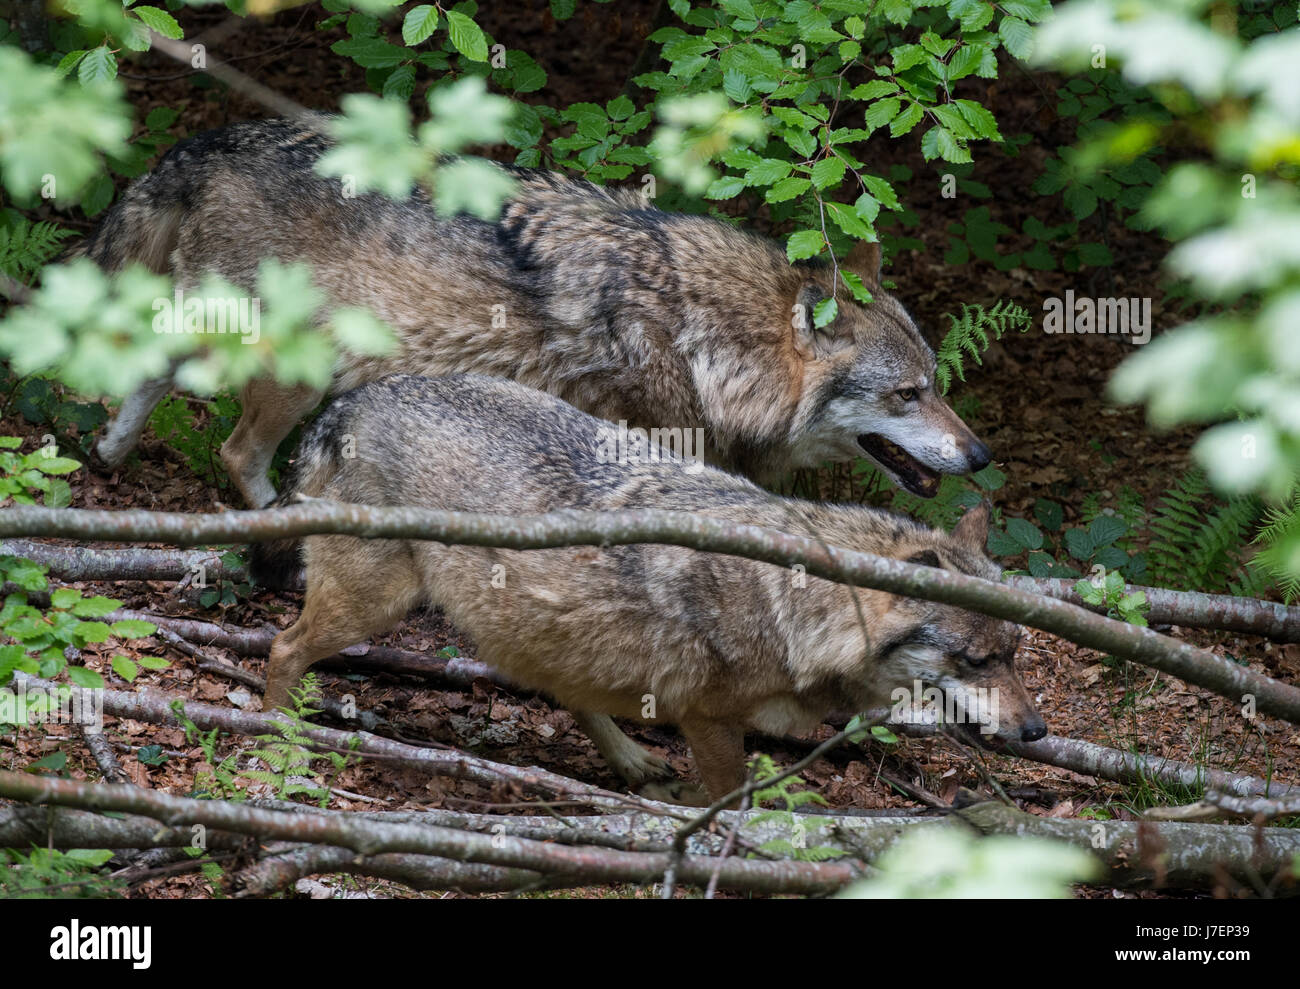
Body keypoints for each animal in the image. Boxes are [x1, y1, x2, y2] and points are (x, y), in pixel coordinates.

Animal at [72, 115, 991, 507]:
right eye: (907, 395)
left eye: (938, 384)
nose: (981, 455)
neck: (706, 341)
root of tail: (206, 141)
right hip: (298, 369)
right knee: (235, 453)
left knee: (144, 379)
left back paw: (108, 456)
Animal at [249, 374, 1044, 804]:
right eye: (977, 661)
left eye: (1015, 653)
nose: (1037, 730)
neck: (794, 608)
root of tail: (354, 399)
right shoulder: (708, 718)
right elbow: (728, 797)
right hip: (371, 606)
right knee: (282, 648)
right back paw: (279, 743)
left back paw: (631, 761)